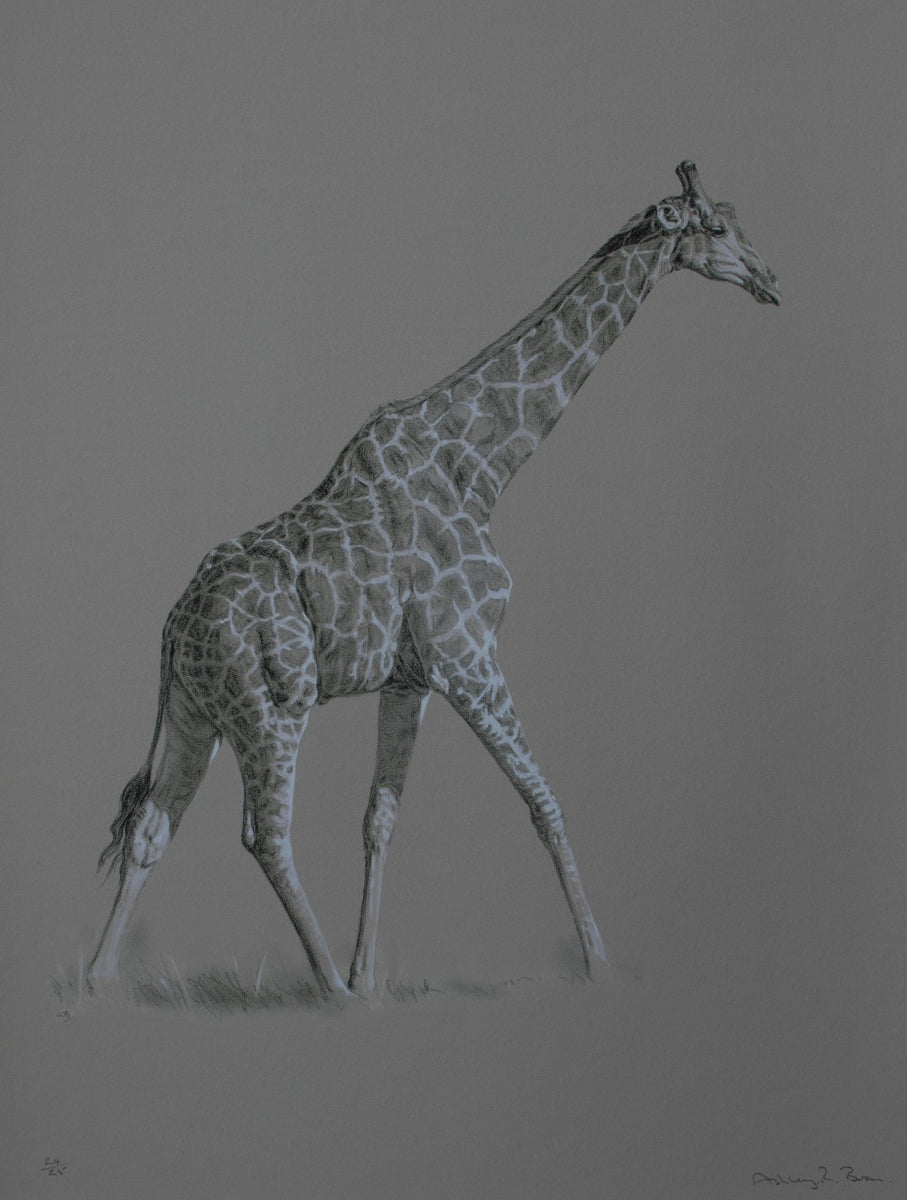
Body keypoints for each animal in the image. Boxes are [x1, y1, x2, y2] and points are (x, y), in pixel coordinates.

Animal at [88, 162, 780, 1000]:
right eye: (714, 226)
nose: (771, 280)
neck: (479, 466)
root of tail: (172, 630)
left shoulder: (409, 677)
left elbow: (379, 821)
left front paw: (371, 974)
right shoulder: (467, 653)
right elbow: (544, 803)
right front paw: (599, 964)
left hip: (197, 716)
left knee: (153, 828)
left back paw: (97, 981)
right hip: (272, 708)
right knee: (264, 834)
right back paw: (328, 989)